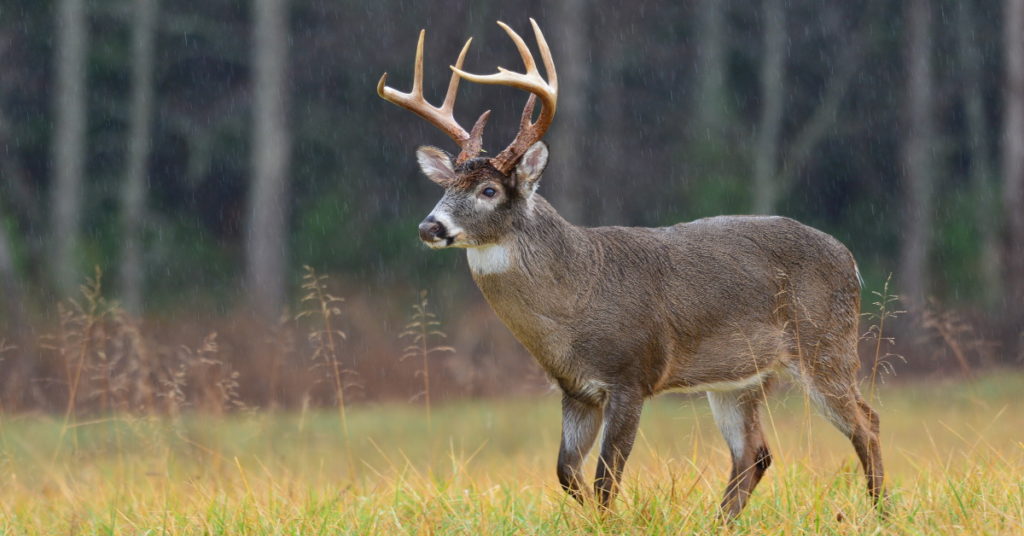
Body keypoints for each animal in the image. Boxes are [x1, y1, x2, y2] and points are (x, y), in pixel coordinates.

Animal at [377, 19, 885, 519]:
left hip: (824, 342)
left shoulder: (631, 374)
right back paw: (718, 523)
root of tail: (850, 260)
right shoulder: (576, 390)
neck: (575, 300)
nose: (430, 226)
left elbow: (606, 479)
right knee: (754, 453)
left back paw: (880, 511)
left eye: (488, 190)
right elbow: (566, 473)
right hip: (740, 377)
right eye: (447, 186)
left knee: (866, 421)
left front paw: (607, 522)